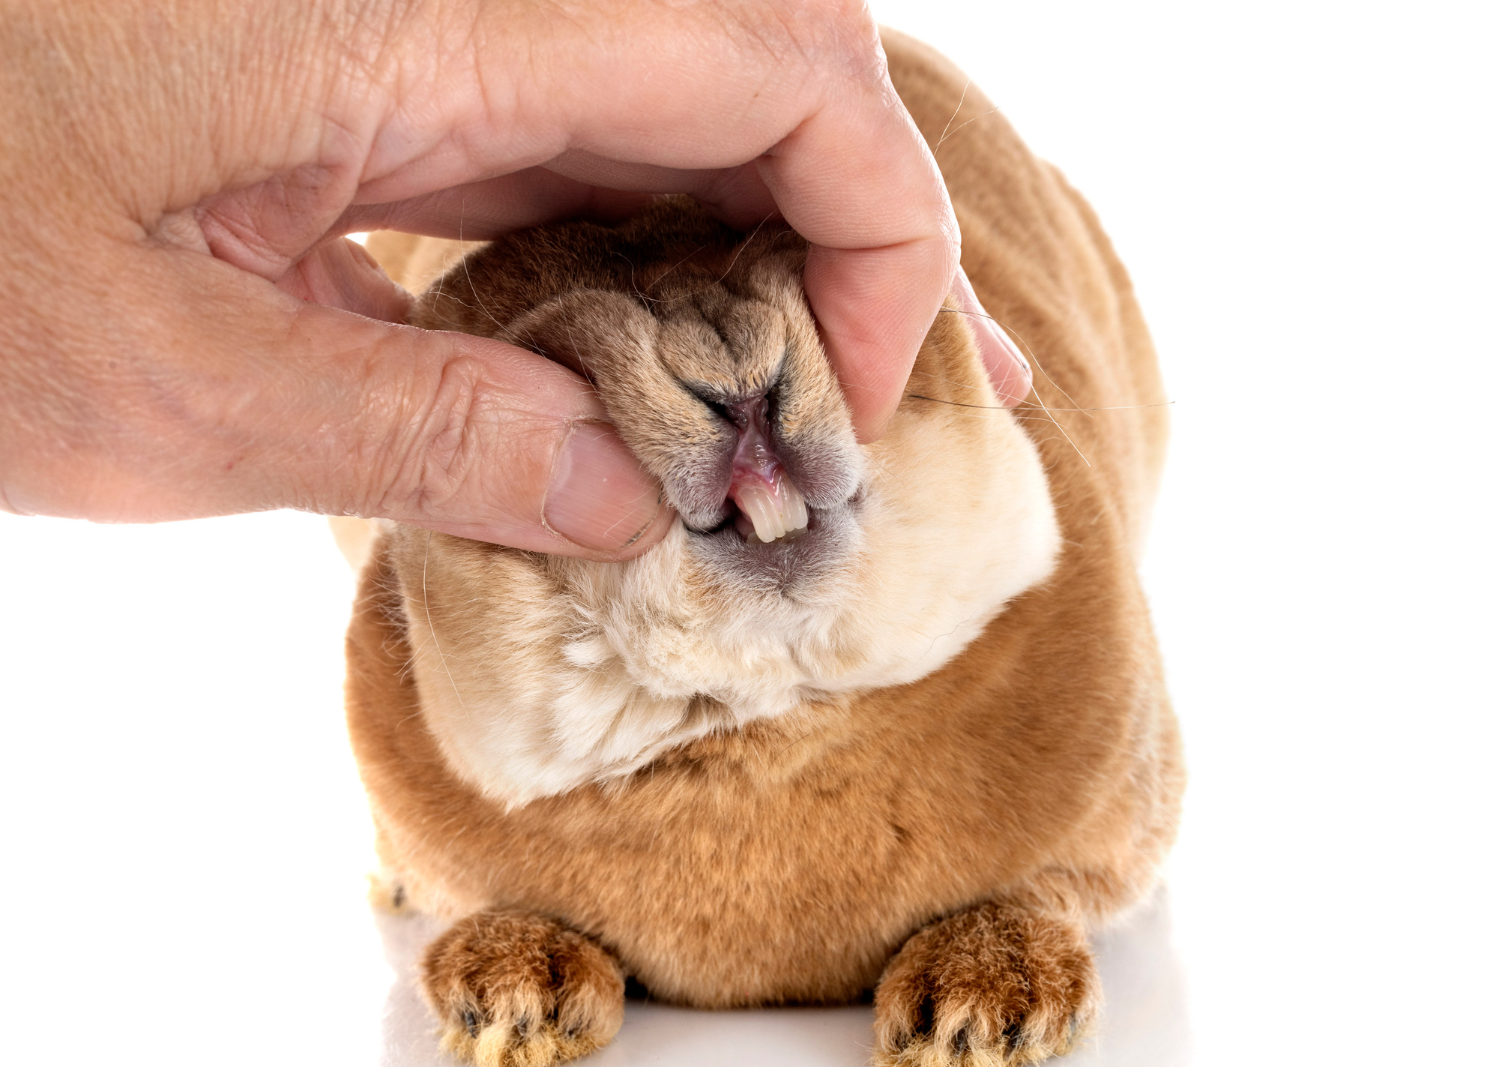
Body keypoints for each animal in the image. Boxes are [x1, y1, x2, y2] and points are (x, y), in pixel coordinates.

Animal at [342, 28, 1181, 1067]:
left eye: (810, 276)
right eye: (548, 364)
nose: (736, 377)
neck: (766, 715)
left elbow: (1055, 886)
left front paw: (983, 1003)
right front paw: (509, 990)